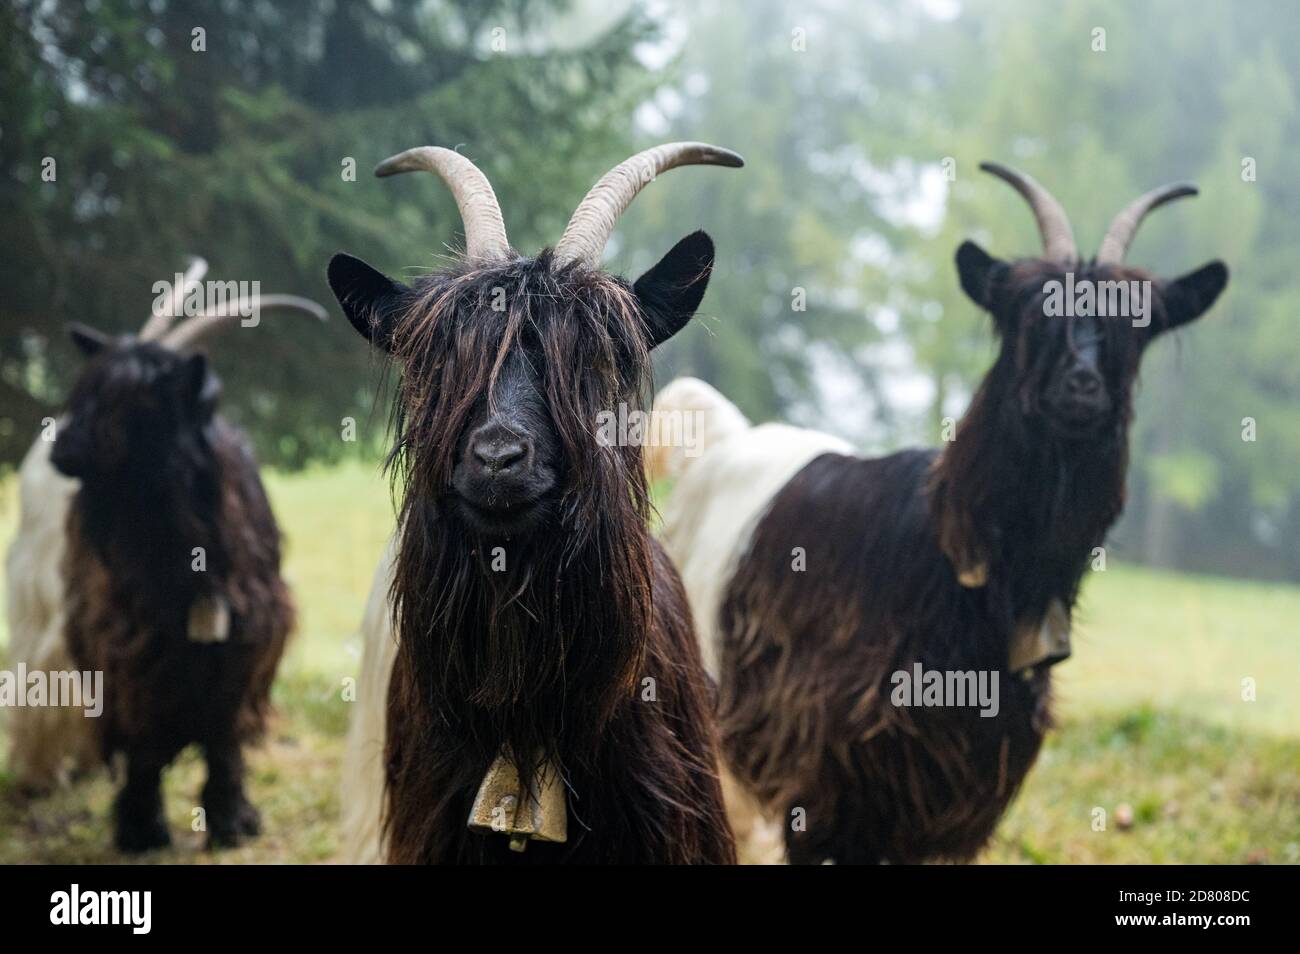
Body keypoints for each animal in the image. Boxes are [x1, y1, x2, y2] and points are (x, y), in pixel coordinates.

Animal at [11, 264, 323, 852]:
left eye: (144, 397)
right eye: (88, 386)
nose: (65, 446)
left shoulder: (245, 635)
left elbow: (223, 735)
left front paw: (232, 821)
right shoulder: (123, 638)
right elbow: (143, 737)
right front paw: (140, 827)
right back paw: (40, 774)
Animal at [655, 163, 1228, 864]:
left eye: (1134, 332)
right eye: (1028, 316)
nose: (1082, 386)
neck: (955, 560)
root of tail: (725, 436)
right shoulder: (824, 765)